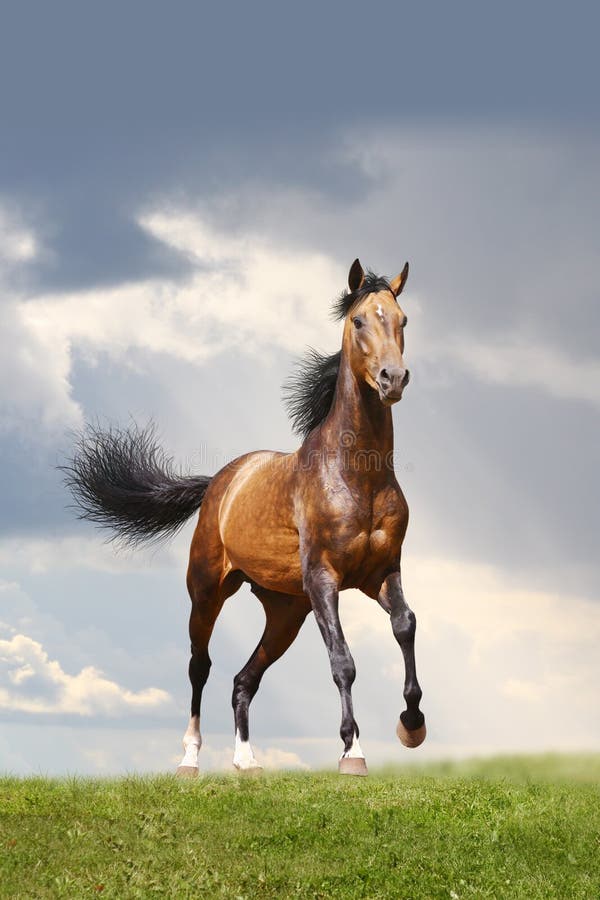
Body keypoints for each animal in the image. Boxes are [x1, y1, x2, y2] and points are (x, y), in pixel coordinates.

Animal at [64, 258, 426, 777]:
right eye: (359, 321)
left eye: (402, 320)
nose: (392, 378)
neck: (358, 477)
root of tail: (219, 481)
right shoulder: (324, 580)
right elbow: (343, 660)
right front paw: (352, 751)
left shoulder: (381, 572)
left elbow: (405, 625)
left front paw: (411, 725)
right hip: (207, 592)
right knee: (200, 666)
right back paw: (190, 760)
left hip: (285, 613)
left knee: (243, 679)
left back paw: (246, 762)